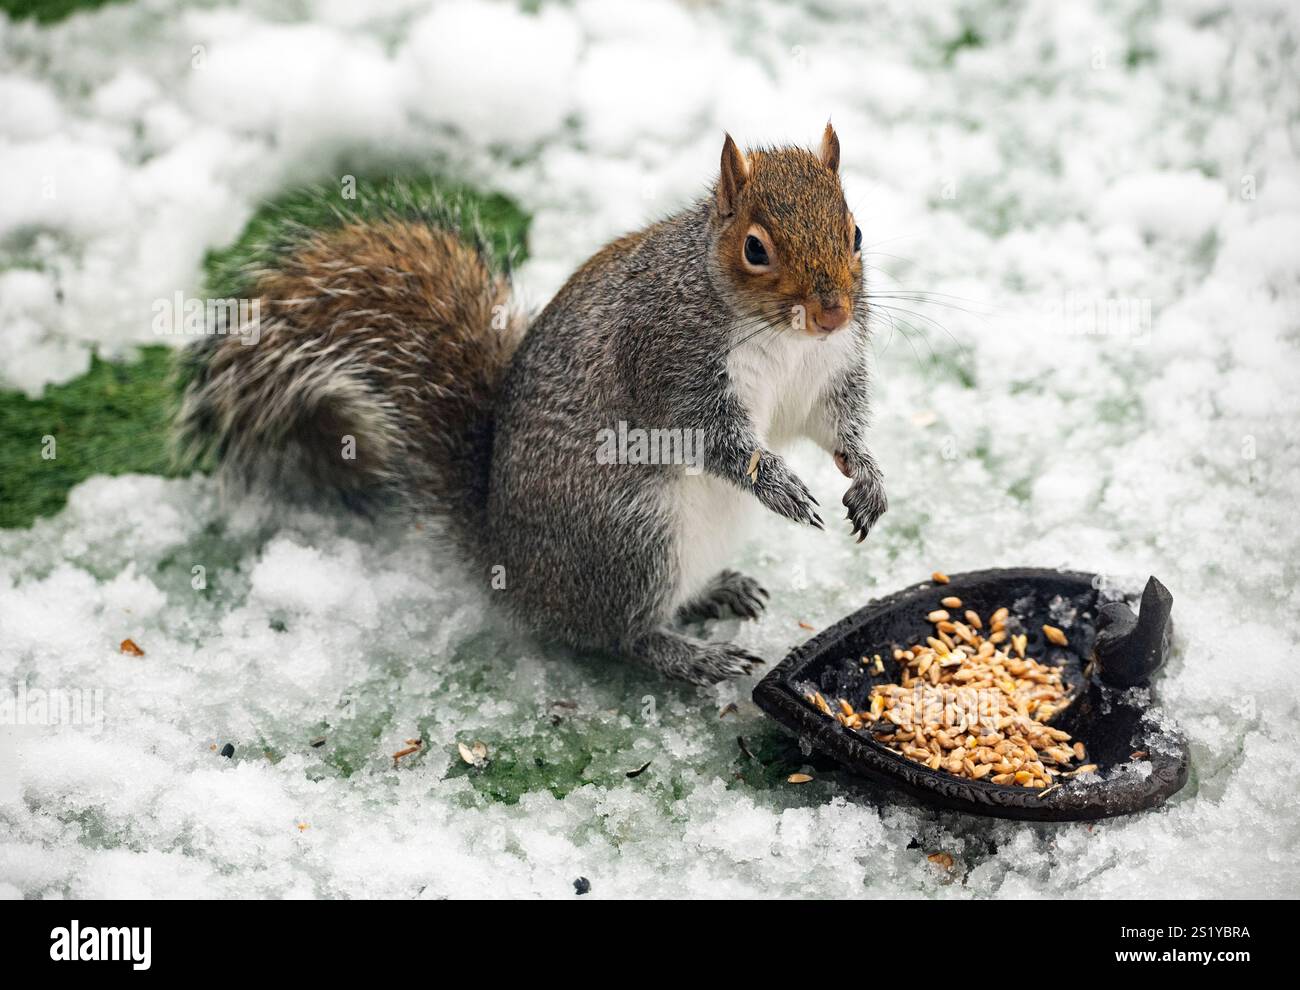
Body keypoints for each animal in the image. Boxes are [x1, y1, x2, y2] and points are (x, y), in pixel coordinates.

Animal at [175, 123, 887, 685]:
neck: (785, 337)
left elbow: (834, 425)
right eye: (755, 248)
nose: (832, 312)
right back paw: (690, 655)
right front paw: (780, 486)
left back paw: (718, 590)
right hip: (632, 539)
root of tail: (508, 564)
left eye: (856, 232)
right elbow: (714, 439)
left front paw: (867, 478)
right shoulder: (669, 362)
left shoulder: (824, 376)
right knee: (620, 633)